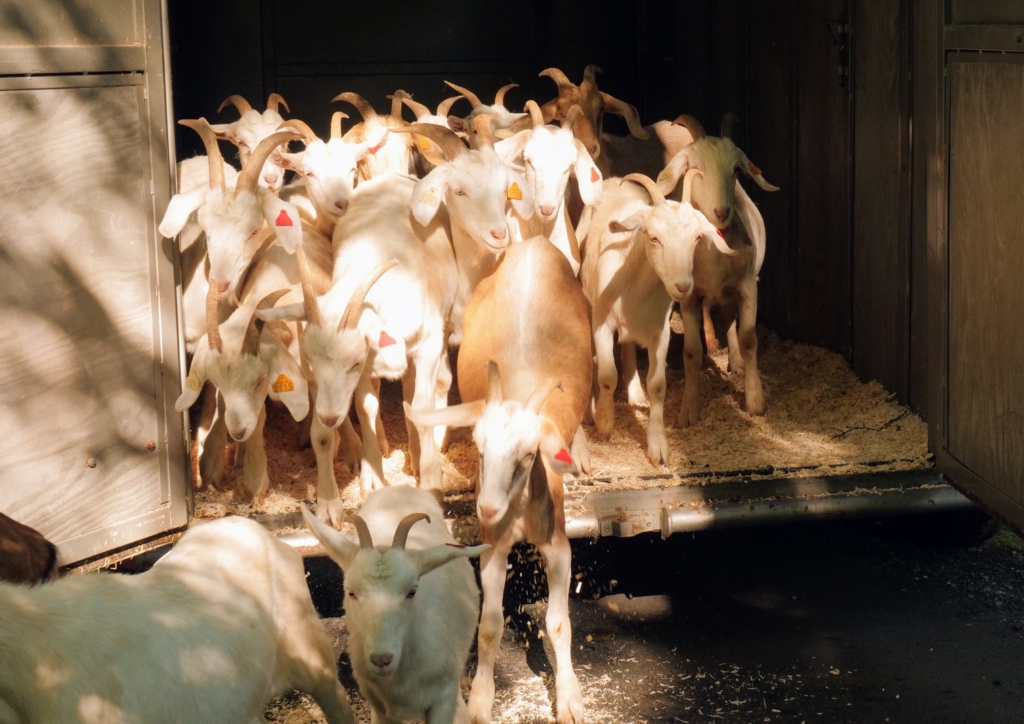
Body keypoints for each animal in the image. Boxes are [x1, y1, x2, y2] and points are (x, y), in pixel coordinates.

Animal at [302, 485, 488, 724]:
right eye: (351, 592)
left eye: (412, 591)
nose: (381, 660)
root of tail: (400, 487)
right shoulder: (379, 706)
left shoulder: (444, 698)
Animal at [405, 237, 591, 724]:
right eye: (480, 447)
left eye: (528, 456)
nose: (487, 508)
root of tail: (535, 243)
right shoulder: (491, 548)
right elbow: (488, 627)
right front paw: (479, 700)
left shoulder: (559, 546)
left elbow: (558, 623)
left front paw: (569, 697)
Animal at [580, 172, 731, 465]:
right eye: (653, 238)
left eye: (697, 238)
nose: (683, 286)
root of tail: (615, 179)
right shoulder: (602, 322)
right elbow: (607, 375)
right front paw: (604, 424)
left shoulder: (660, 332)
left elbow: (658, 385)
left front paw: (658, 446)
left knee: (628, 348)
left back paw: (635, 393)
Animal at [654, 114, 778, 424]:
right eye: (695, 168)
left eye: (735, 169)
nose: (722, 212)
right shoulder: (687, 297)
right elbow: (690, 351)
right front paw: (688, 410)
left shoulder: (747, 286)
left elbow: (748, 339)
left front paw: (755, 400)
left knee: (730, 320)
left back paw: (735, 362)